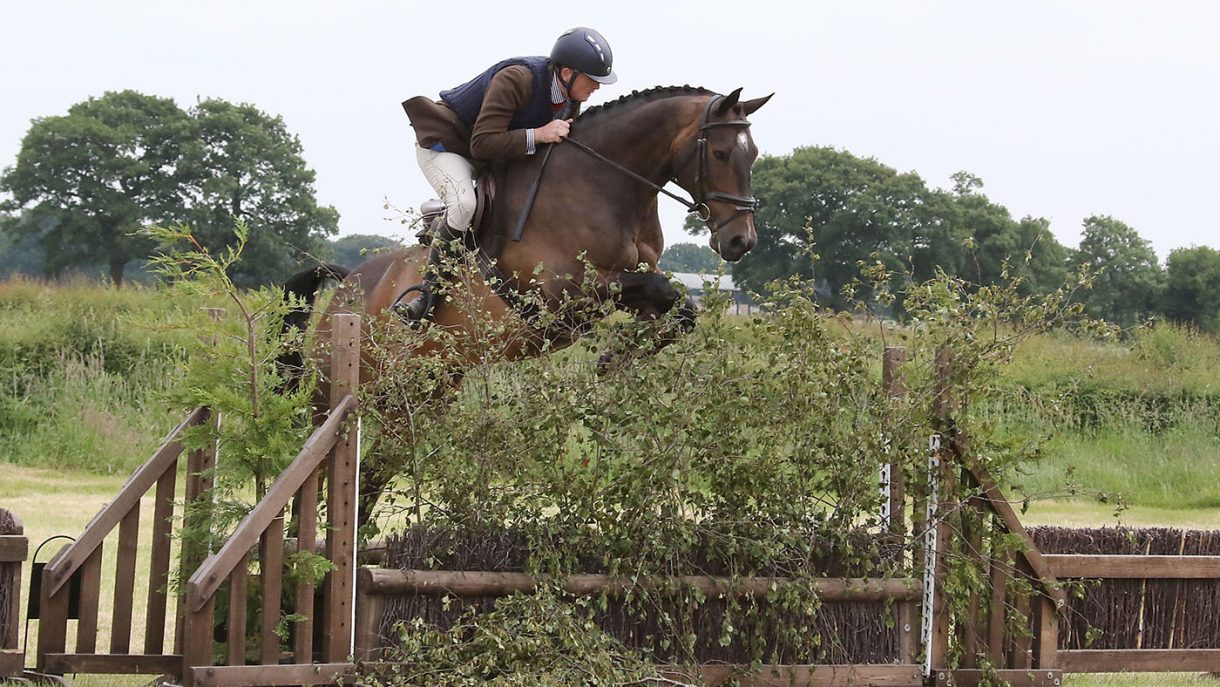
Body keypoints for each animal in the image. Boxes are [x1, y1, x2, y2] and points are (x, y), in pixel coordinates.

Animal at [285, 85, 771, 524]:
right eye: (722, 153)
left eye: (753, 156)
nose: (741, 241)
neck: (604, 185)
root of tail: (347, 284)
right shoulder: (558, 297)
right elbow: (658, 290)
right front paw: (612, 357)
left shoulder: (625, 291)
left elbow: (679, 309)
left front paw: (617, 356)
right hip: (338, 396)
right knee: (314, 476)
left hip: (424, 396)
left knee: (370, 478)